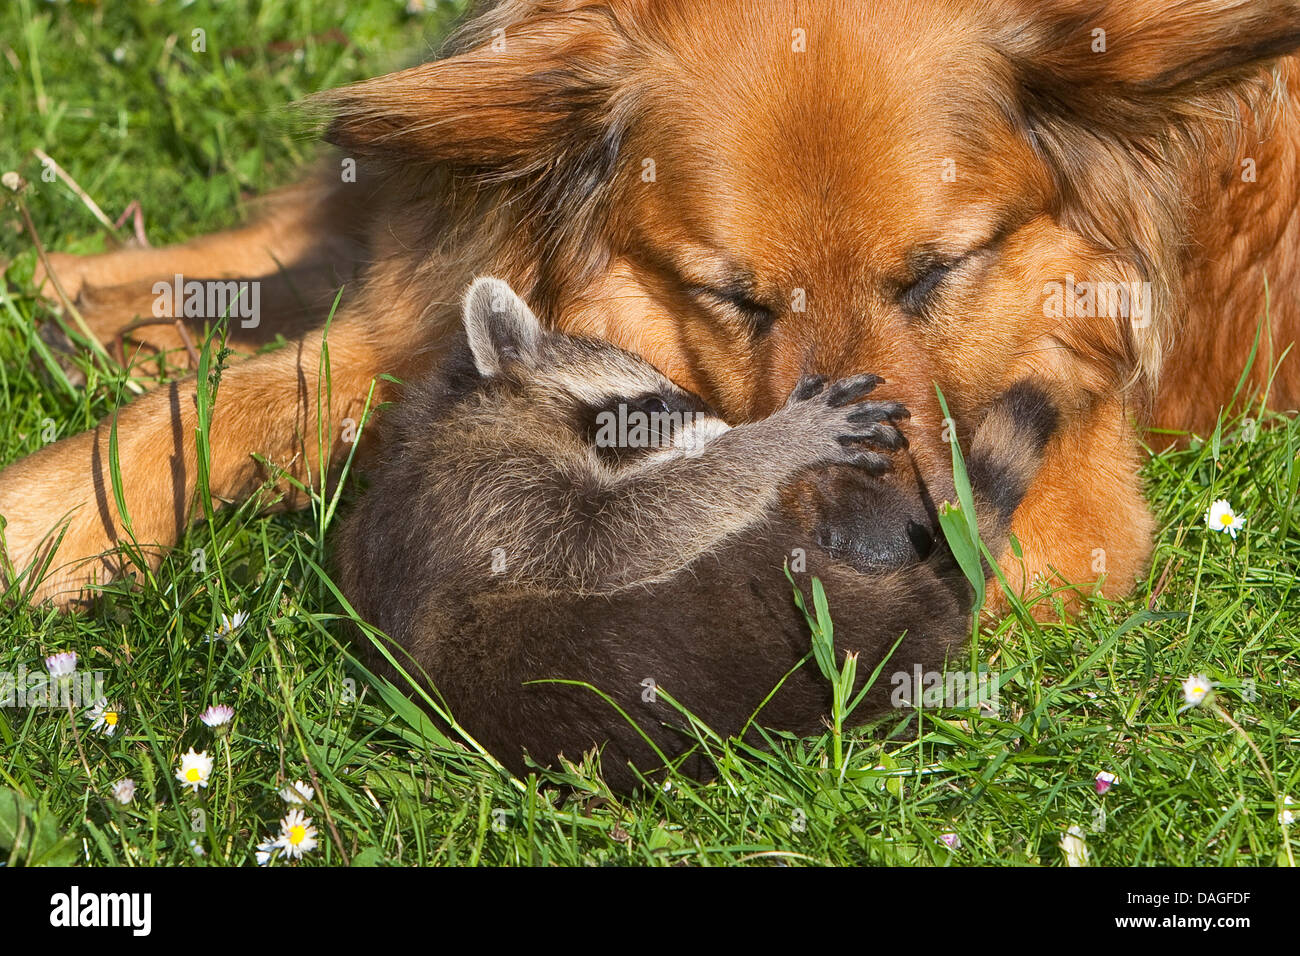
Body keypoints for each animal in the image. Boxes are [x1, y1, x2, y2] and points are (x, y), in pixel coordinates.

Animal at [336, 278, 1059, 791]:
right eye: (657, 405)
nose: (729, 426)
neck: (466, 411)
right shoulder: (490, 498)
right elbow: (609, 536)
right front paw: (776, 442)